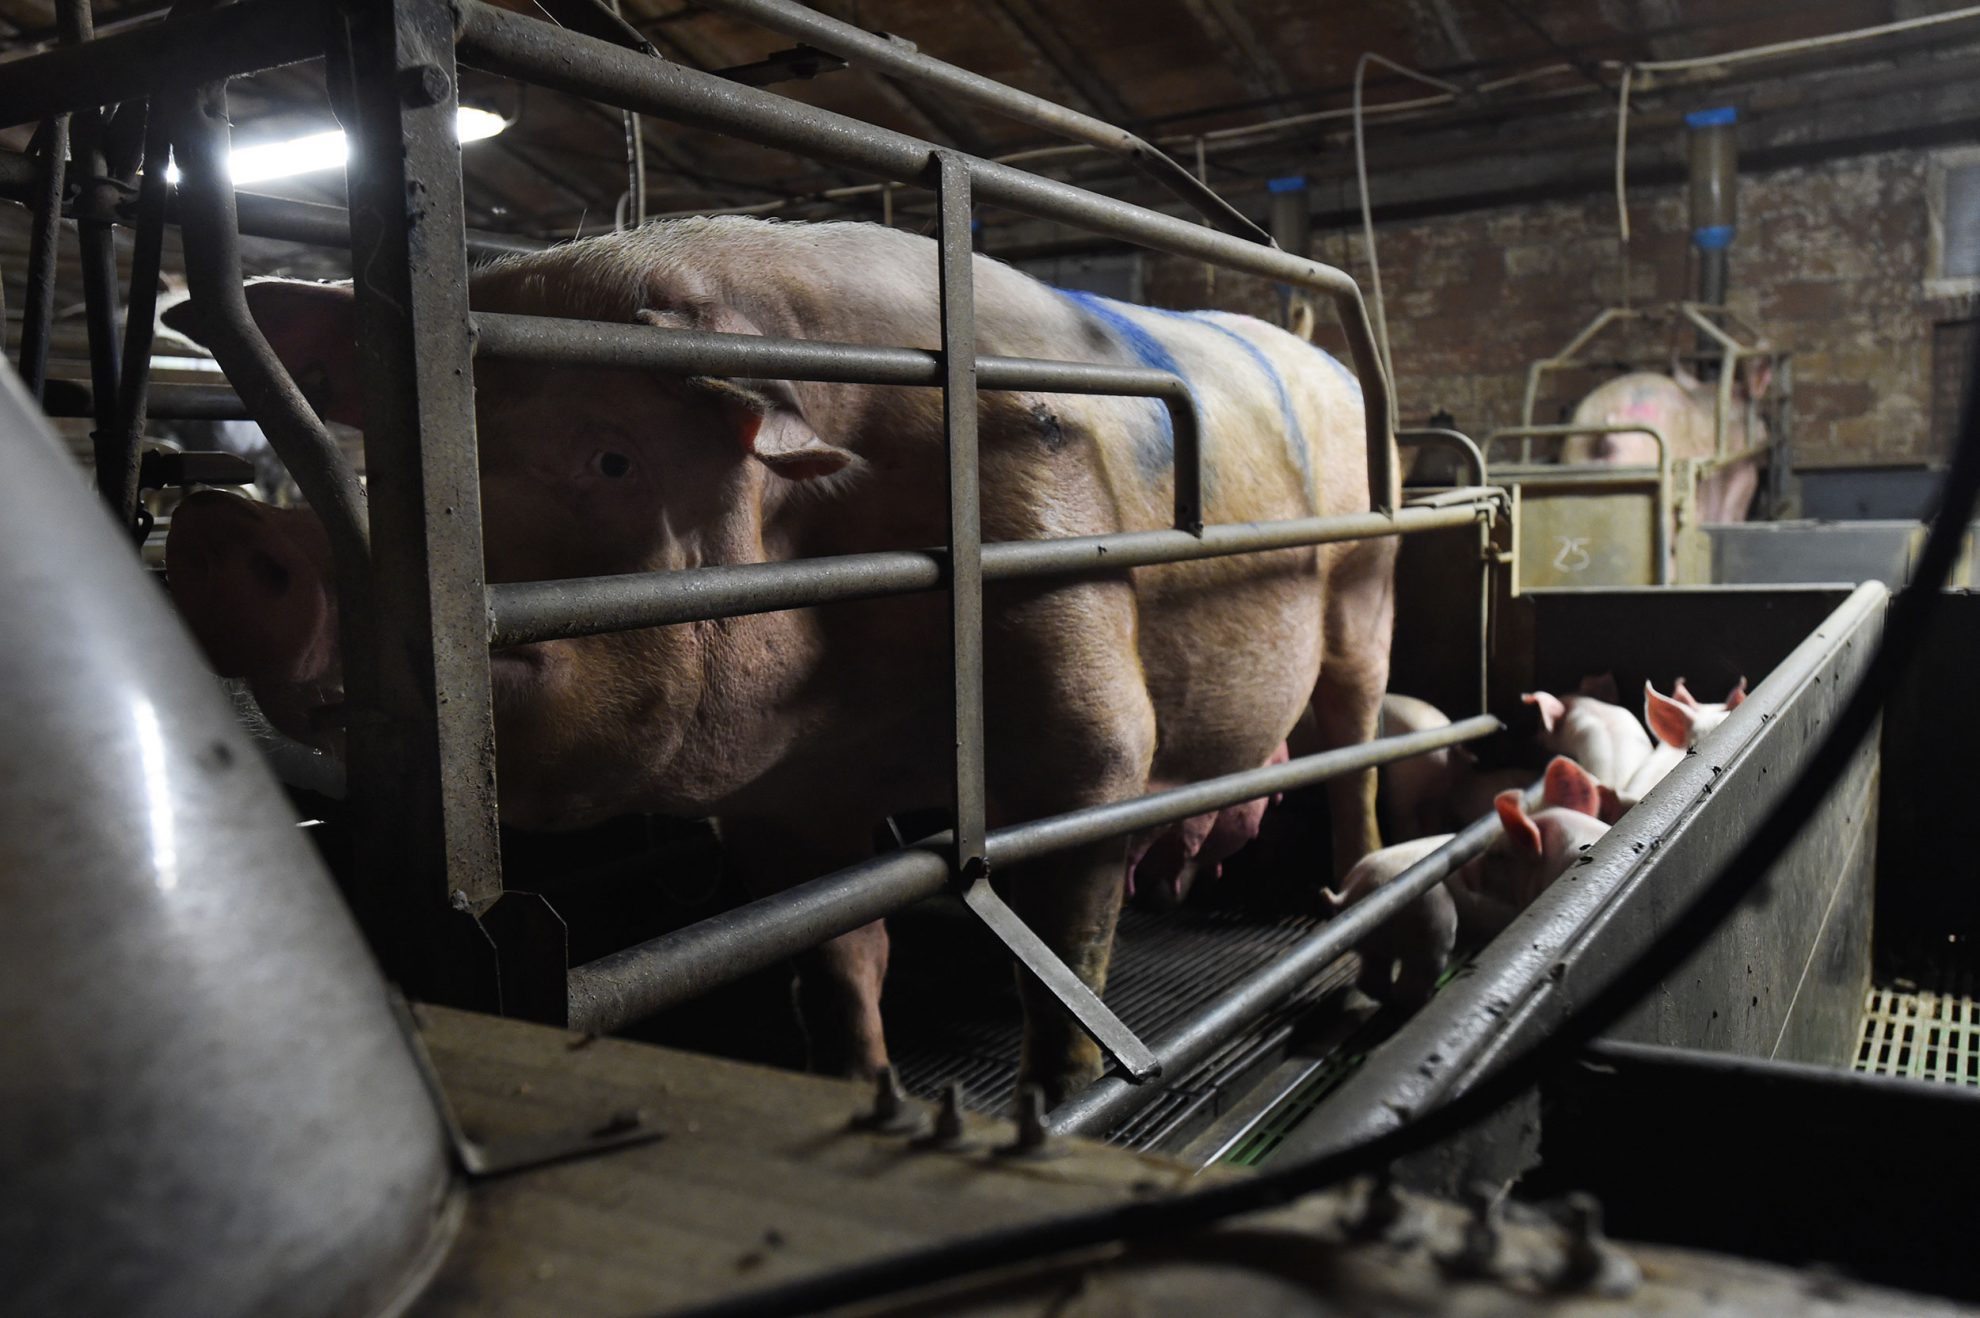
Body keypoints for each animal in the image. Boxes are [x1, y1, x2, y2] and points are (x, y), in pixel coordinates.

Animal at [161, 216, 1396, 1104]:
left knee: (1353, 749)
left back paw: (1344, 899)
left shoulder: (1085, 738)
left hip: (1363, 598)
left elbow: (1062, 950)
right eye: (392, 460)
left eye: (614, 458)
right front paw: (862, 1091)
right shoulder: (777, 801)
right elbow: (840, 963)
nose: (225, 524)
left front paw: (1061, 1101)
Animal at [1320, 833, 1457, 1010]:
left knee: (1374, 968)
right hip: (1431, 925)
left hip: (1377, 937)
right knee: (1418, 971)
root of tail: (1347, 892)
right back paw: (1421, 1001)